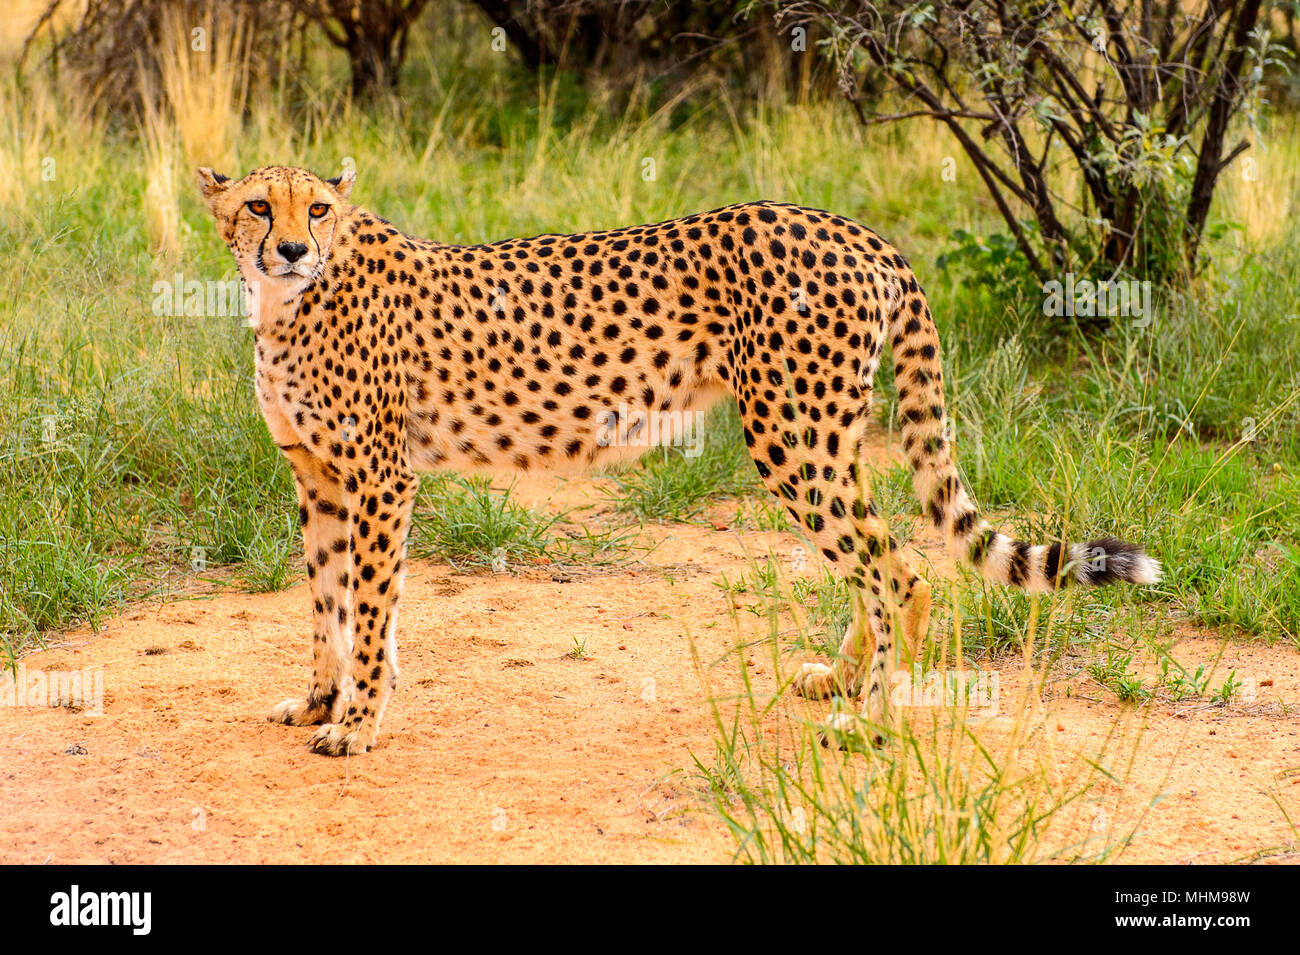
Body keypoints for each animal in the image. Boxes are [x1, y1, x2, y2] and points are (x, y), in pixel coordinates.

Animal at [197, 164, 1160, 755]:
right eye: (259, 206)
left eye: (318, 209)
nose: (292, 247)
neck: (286, 302)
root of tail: (855, 228)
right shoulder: (318, 477)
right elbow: (325, 602)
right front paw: (319, 700)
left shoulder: (380, 478)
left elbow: (367, 607)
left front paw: (357, 721)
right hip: (826, 435)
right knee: (873, 562)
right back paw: (845, 681)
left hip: (790, 433)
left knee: (902, 573)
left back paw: (875, 722)